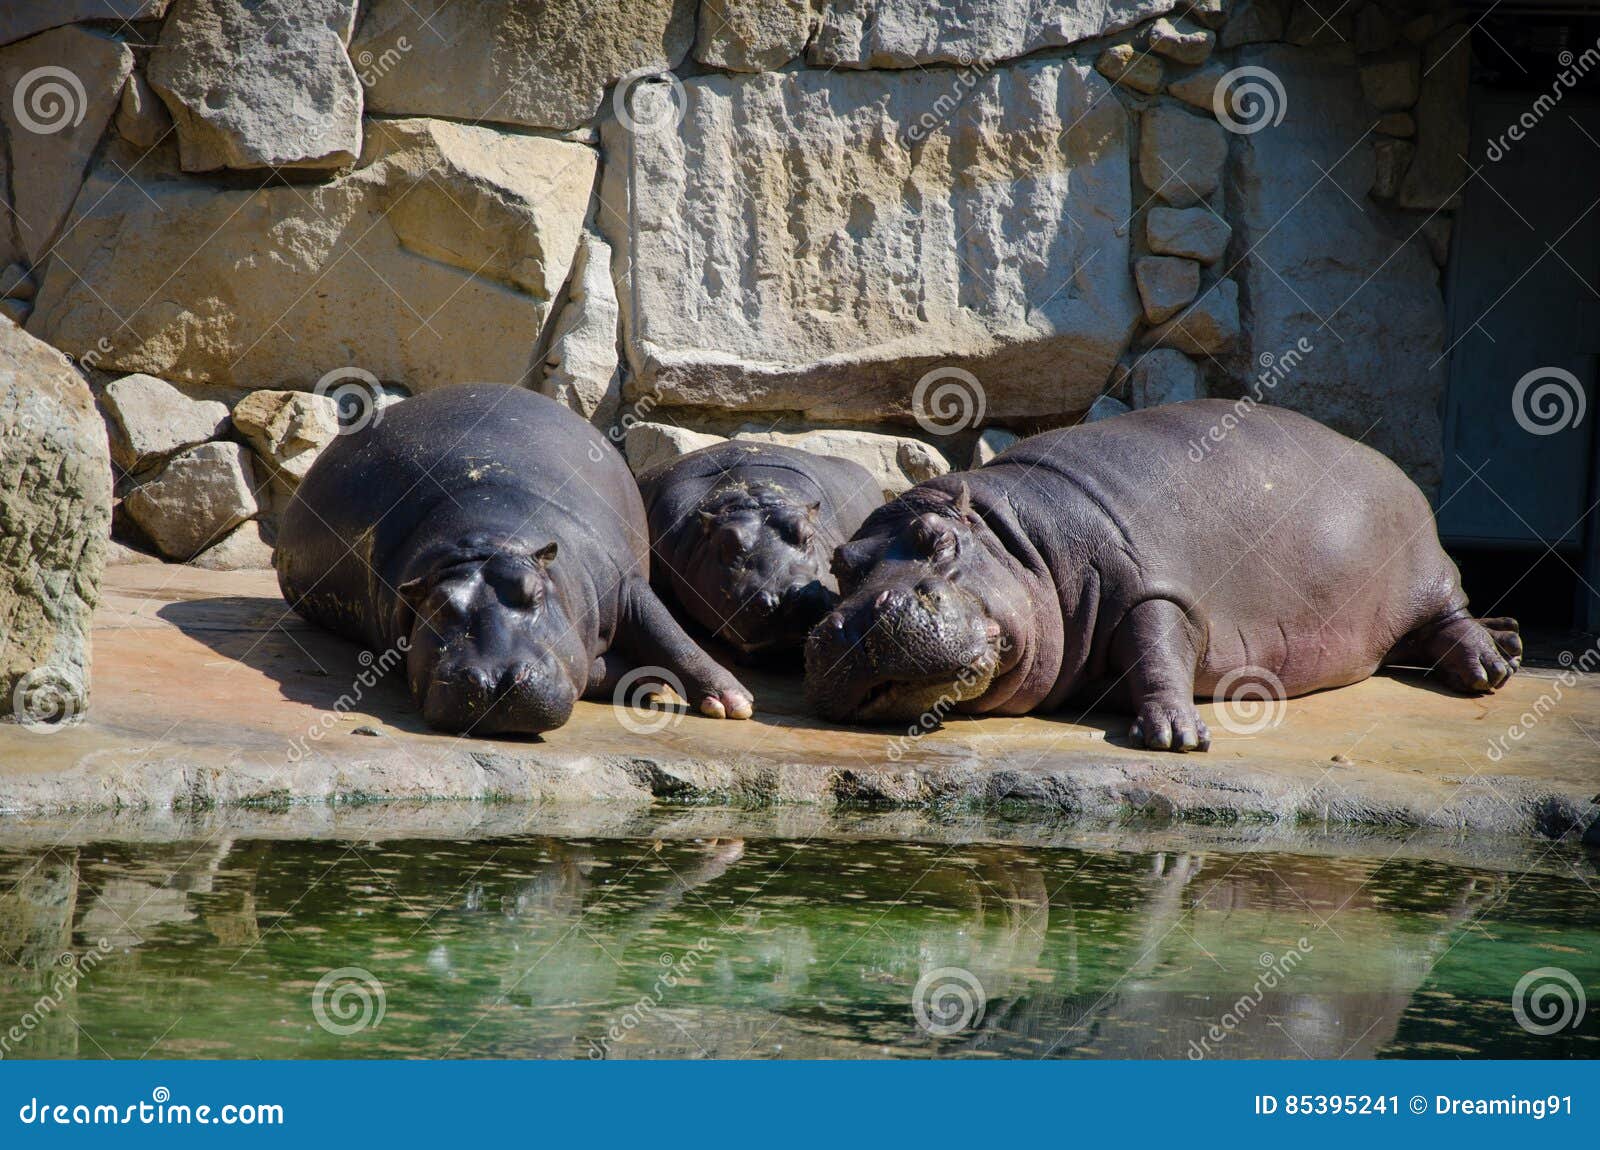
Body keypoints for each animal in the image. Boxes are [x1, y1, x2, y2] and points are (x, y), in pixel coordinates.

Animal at [276, 386, 754, 735]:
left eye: (534, 593)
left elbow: (671, 634)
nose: (494, 679)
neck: (485, 539)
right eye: (439, 609)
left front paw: (732, 703)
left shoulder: (625, 584)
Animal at [804, 399, 1520, 751]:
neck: (1023, 543)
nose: (853, 623)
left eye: (936, 539)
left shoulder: (1155, 590)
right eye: (840, 566)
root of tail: (1378, 455)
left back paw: (1490, 667)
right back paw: (1508, 640)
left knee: (1448, 615)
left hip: (1426, 575)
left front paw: (1173, 737)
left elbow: (1157, 647)